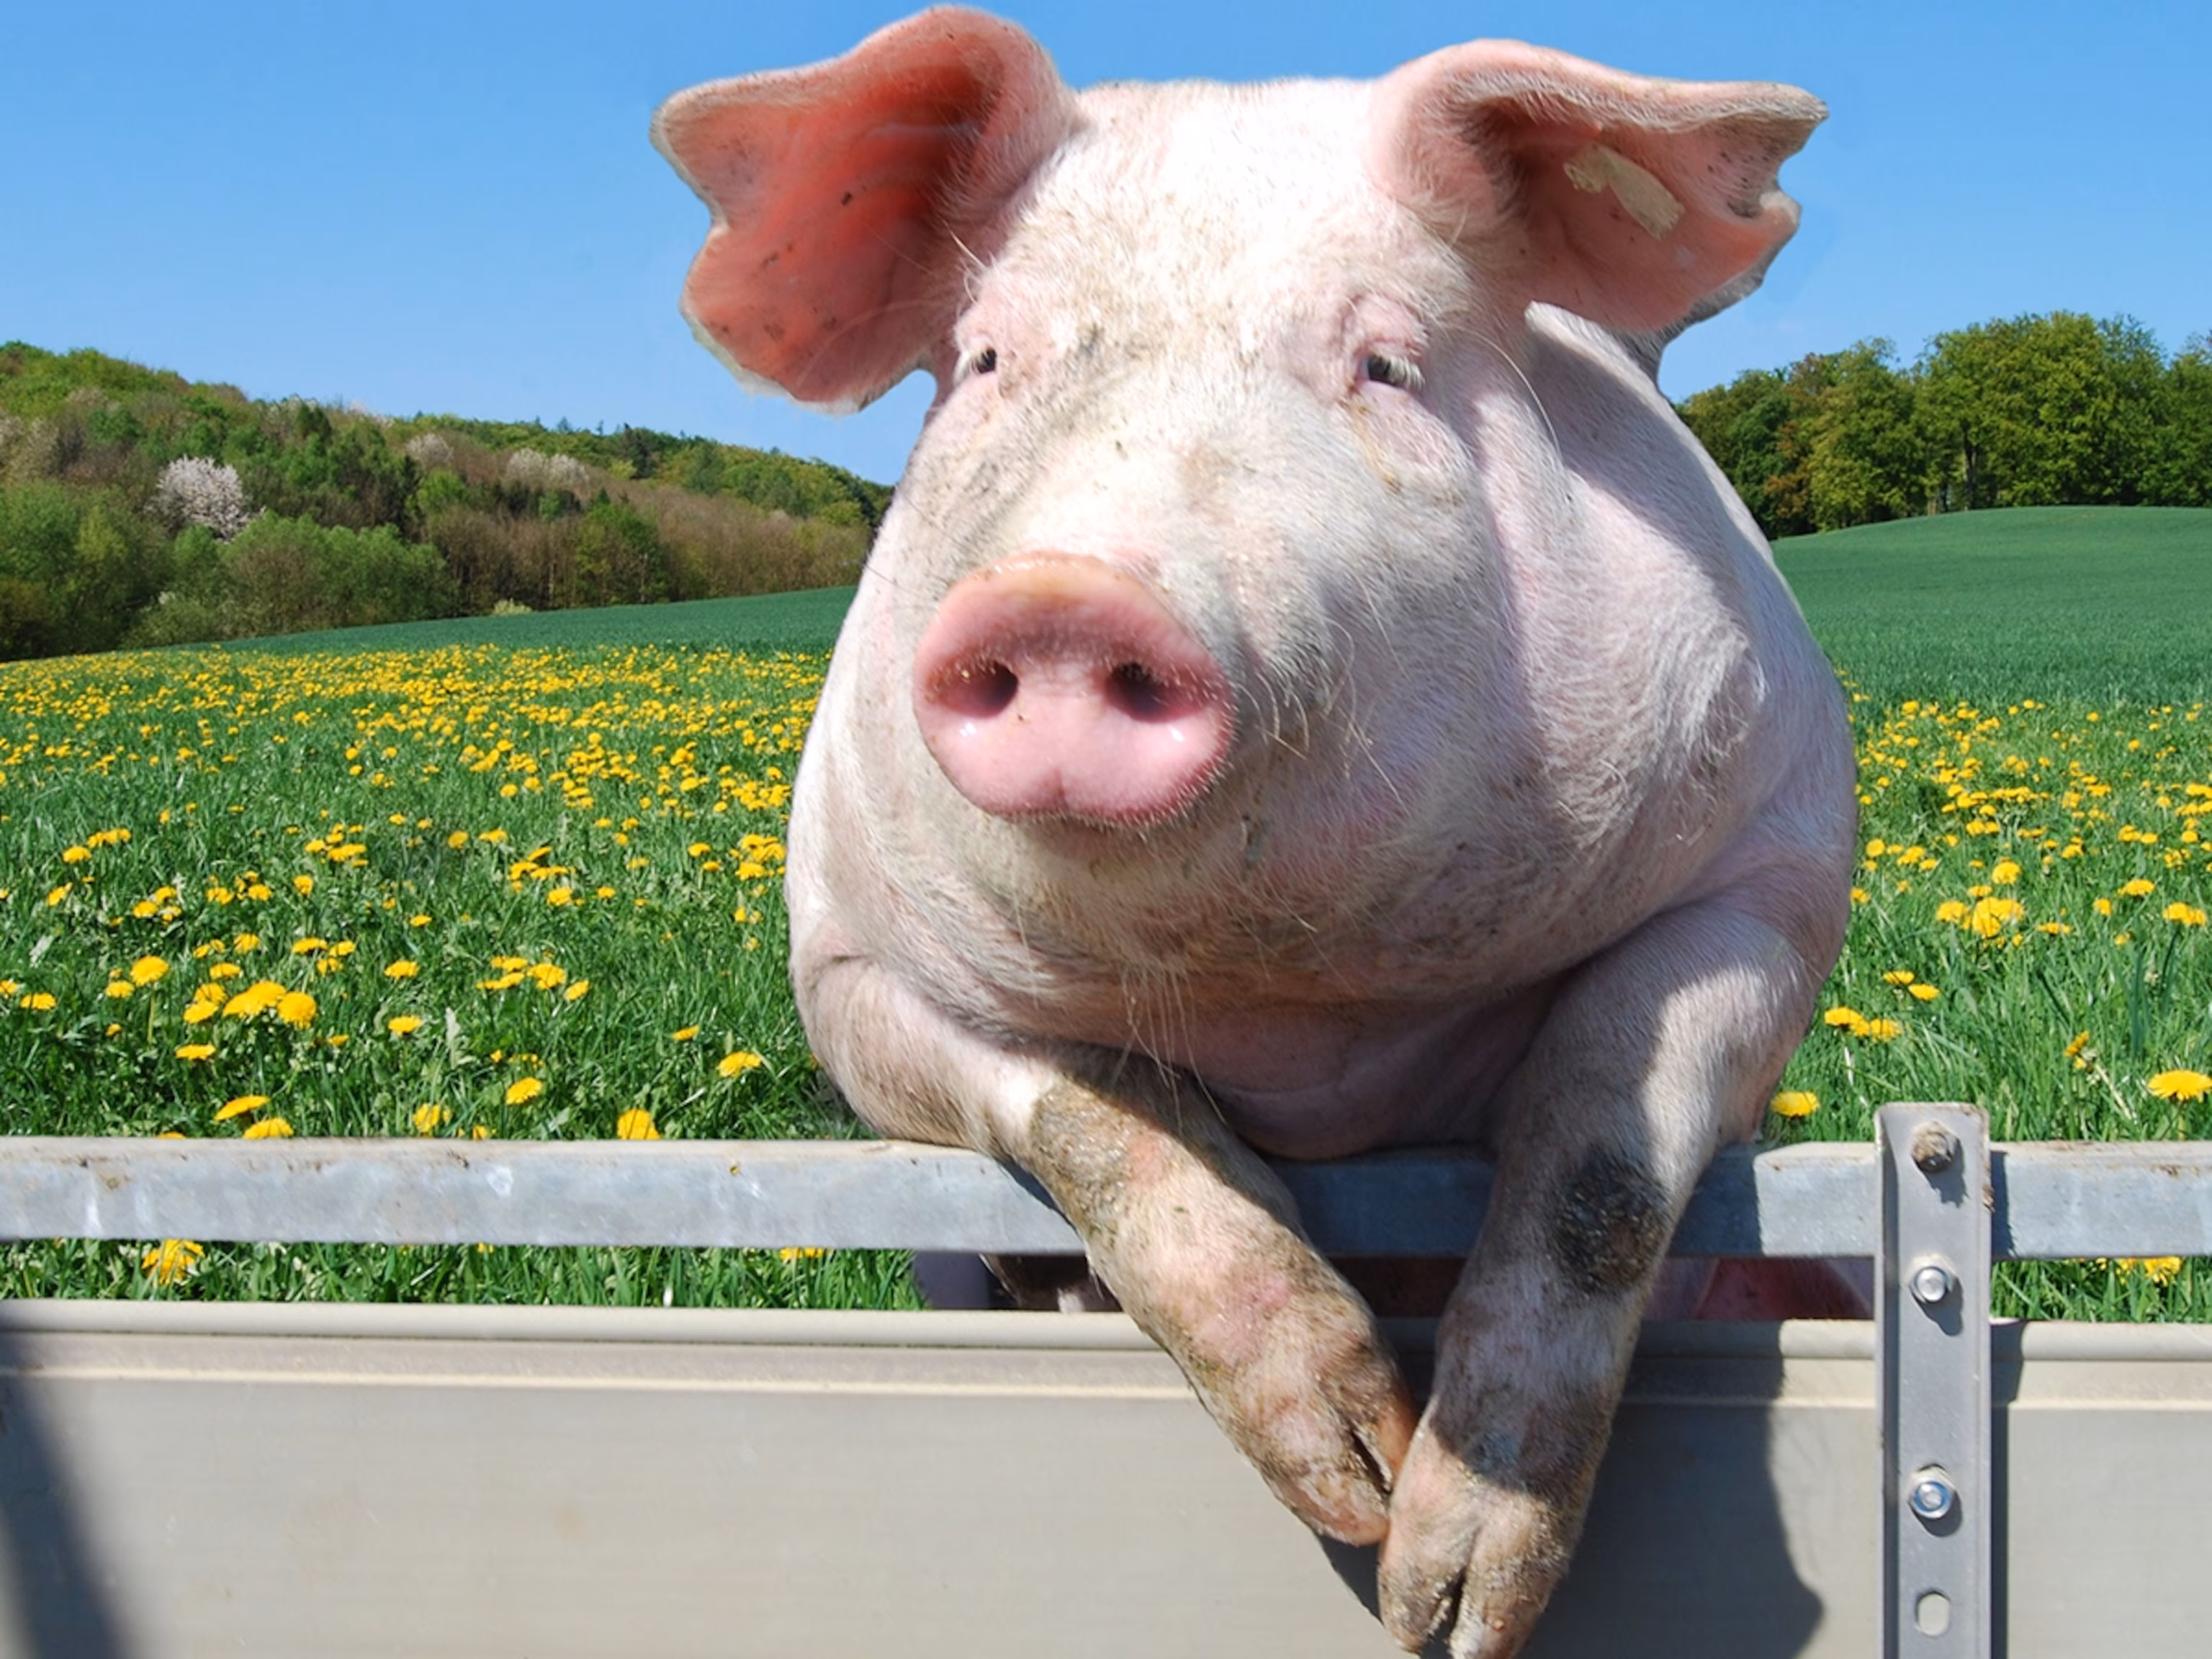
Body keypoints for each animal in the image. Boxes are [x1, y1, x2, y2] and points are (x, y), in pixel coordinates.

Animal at [654, 11, 1853, 1656]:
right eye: (984, 361)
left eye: (1384, 364)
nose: (1068, 594)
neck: (1302, 1013)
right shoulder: (844, 961)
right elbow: (1098, 1121)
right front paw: (1354, 1484)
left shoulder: (1778, 856)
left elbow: (1601, 1158)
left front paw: (1446, 1601)